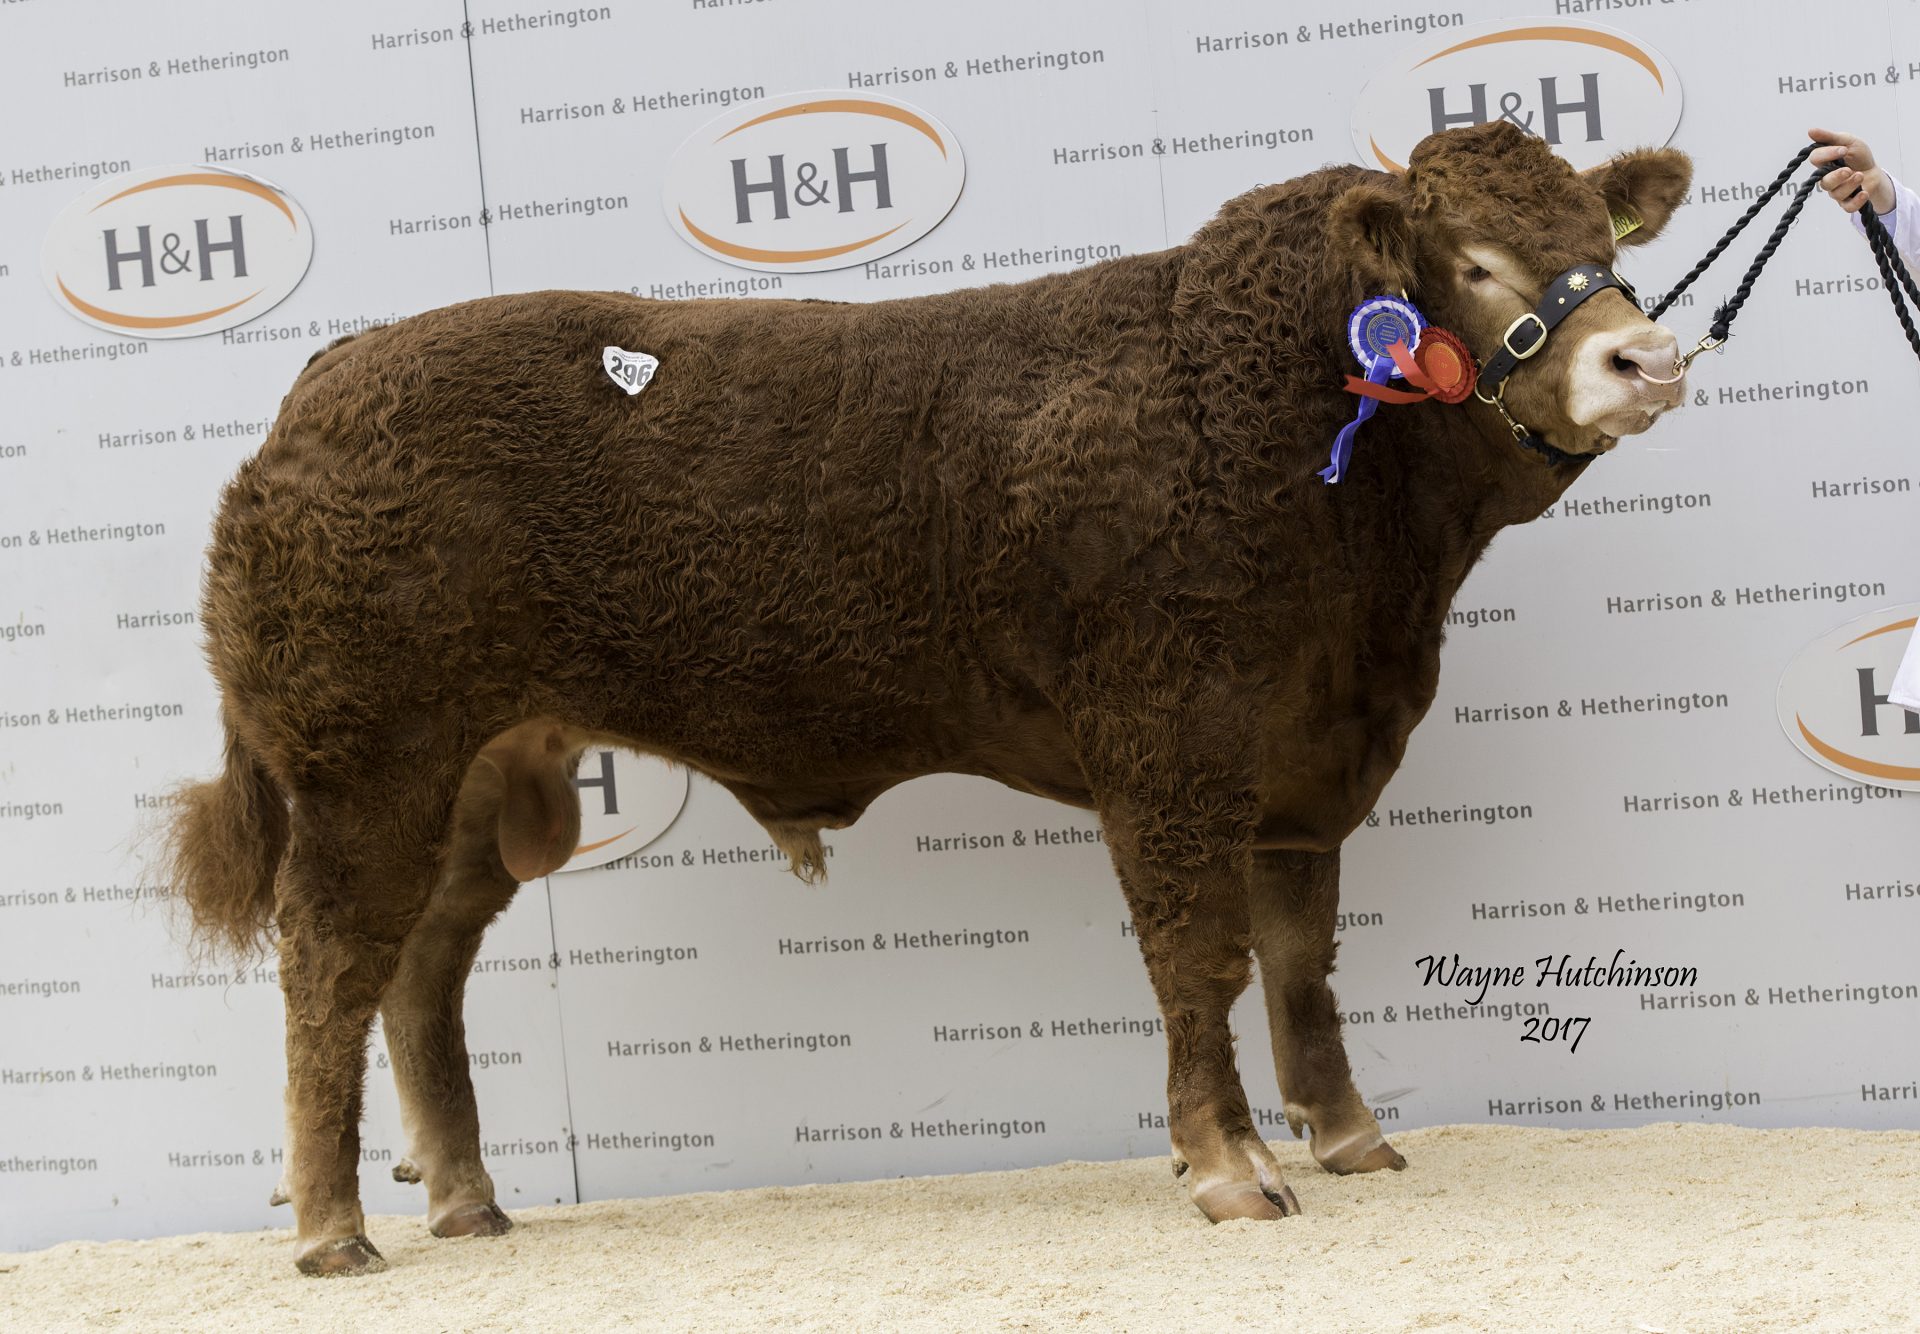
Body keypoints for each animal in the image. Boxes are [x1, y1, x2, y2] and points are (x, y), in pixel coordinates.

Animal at [163, 120, 1692, 1274]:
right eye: (1475, 261)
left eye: (1609, 249)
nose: (1648, 358)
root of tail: (327, 379)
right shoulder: (1168, 744)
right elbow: (1201, 958)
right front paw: (1231, 1165)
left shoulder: (1303, 768)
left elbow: (1303, 961)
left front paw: (1352, 1135)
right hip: (367, 763)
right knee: (329, 966)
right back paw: (332, 1229)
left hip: (477, 776)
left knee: (421, 967)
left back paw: (470, 1201)